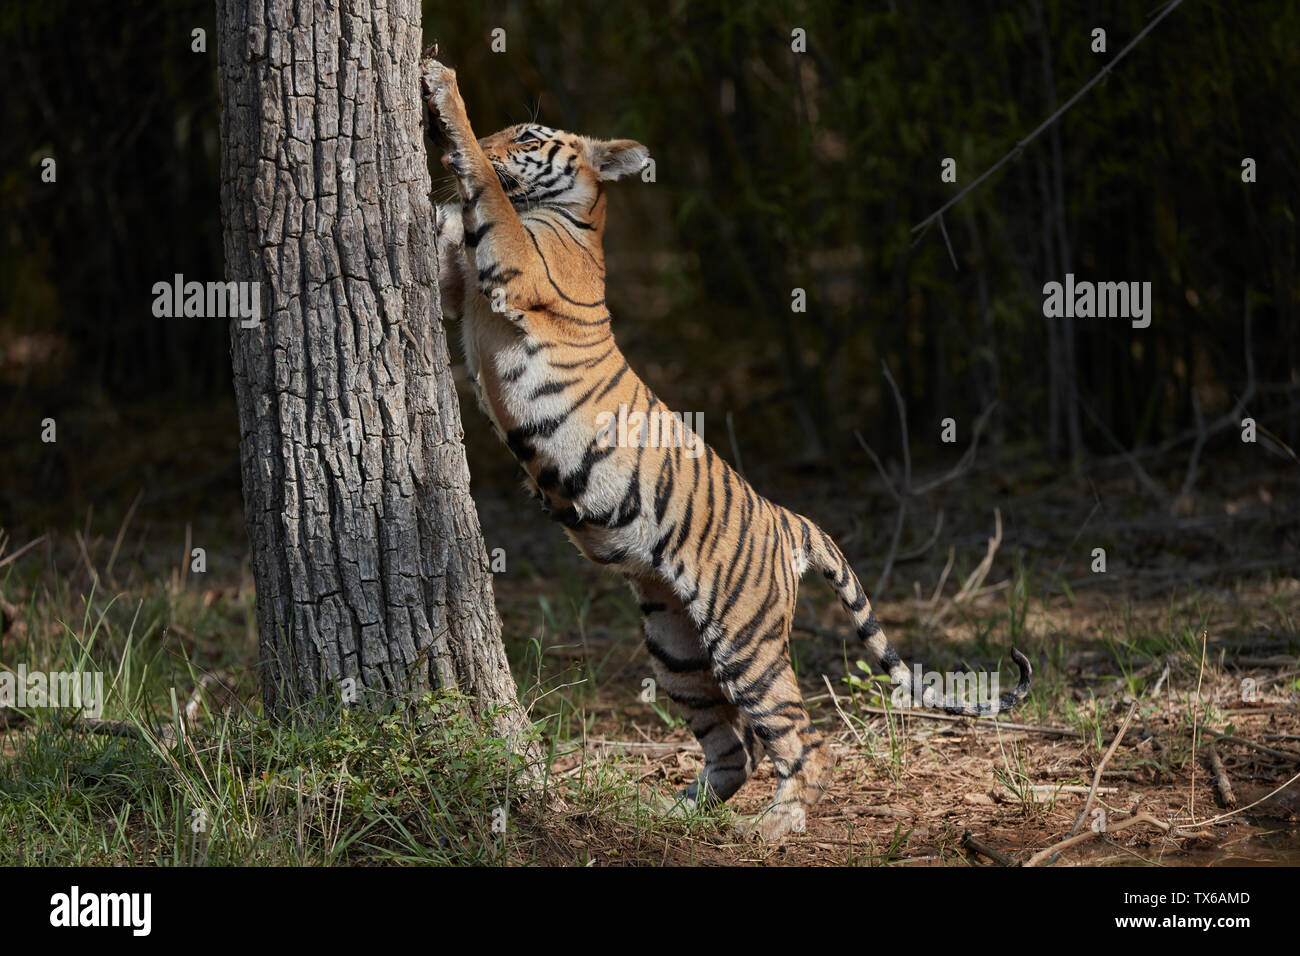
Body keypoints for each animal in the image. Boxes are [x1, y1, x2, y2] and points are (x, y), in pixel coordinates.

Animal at [419, 51, 1031, 840]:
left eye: (524, 134)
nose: (450, 144)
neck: (577, 216)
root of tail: (788, 519)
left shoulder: (515, 264)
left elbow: (486, 190)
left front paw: (443, 91)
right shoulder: (458, 287)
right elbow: (448, 229)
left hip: (745, 640)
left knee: (800, 739)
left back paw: (775, 824)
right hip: (673, 645)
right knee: (732, 748)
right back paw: (667, 813)